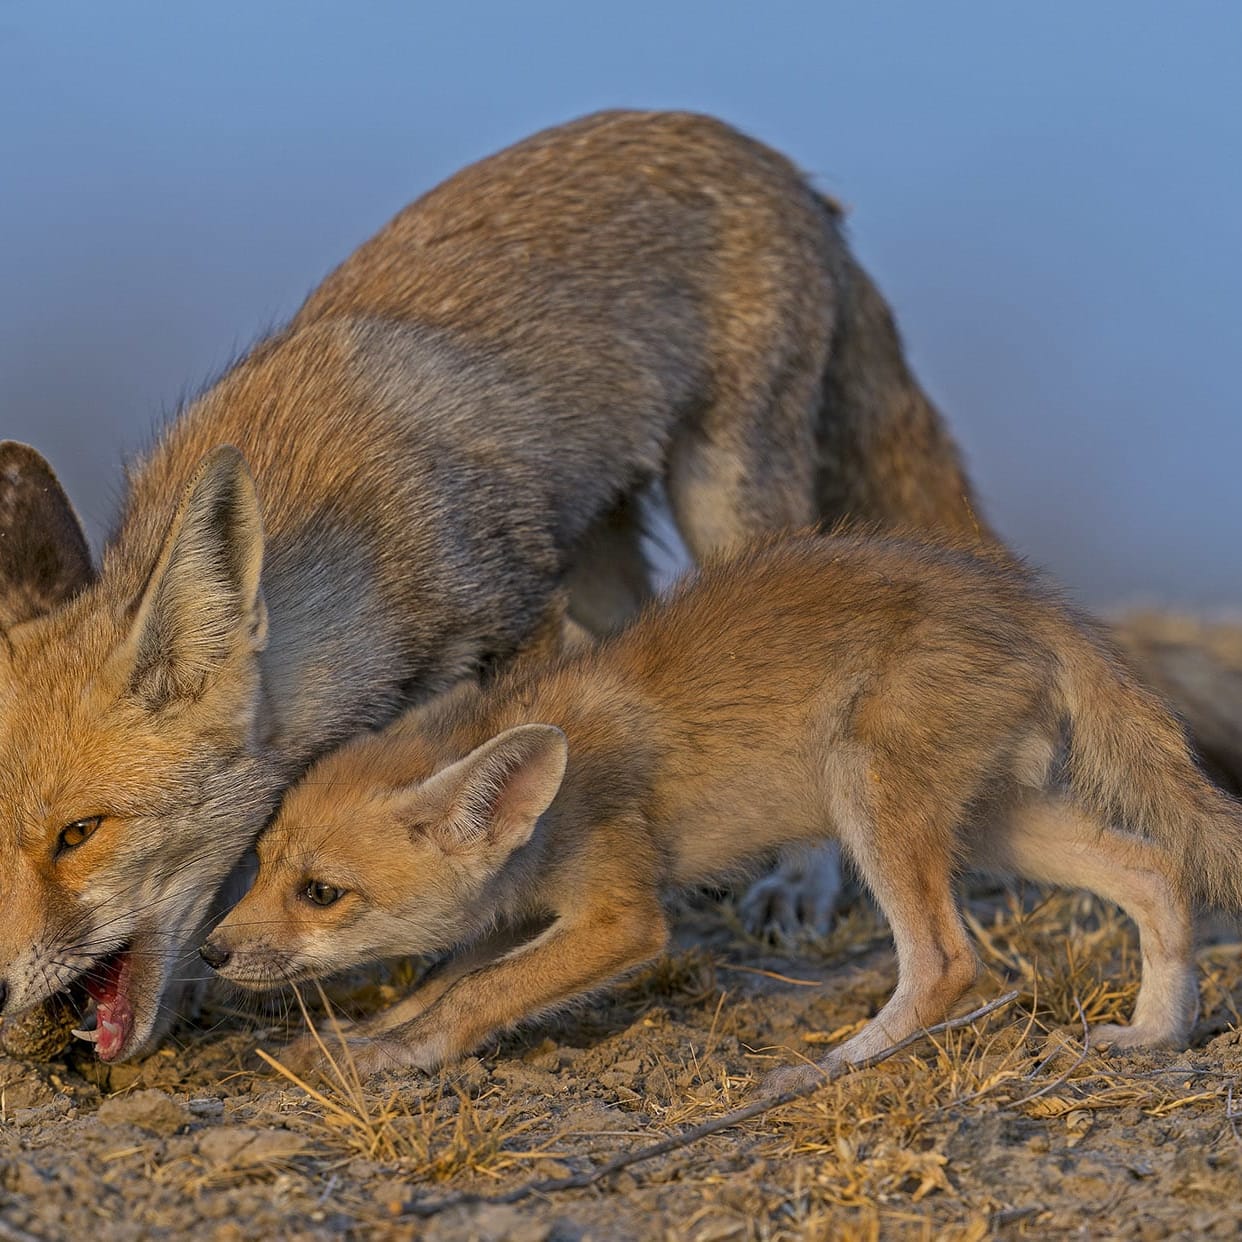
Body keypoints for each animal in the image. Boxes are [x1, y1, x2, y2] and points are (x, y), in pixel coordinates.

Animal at [0, 110, 989, 1062]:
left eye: (79, 834)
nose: (2, 991)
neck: (357, 550)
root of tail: (766, 155)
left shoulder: (517, 619)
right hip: (600, 556)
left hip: (728, 494)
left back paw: (801, 876)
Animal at [202, 531, 1242, 1085]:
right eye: (261, 864)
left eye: (321, 892)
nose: (210, 952)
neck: (558, 800)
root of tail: (1021, 595)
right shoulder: (527, 912)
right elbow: (442, 975)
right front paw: (369, 1034)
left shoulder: (623, 917)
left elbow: (476, 994)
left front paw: (403, 1055)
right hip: (994, 821)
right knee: (1155, 870)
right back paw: (1159, 1031)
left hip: (872, 801)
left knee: (949, 962)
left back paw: (832, 1067)